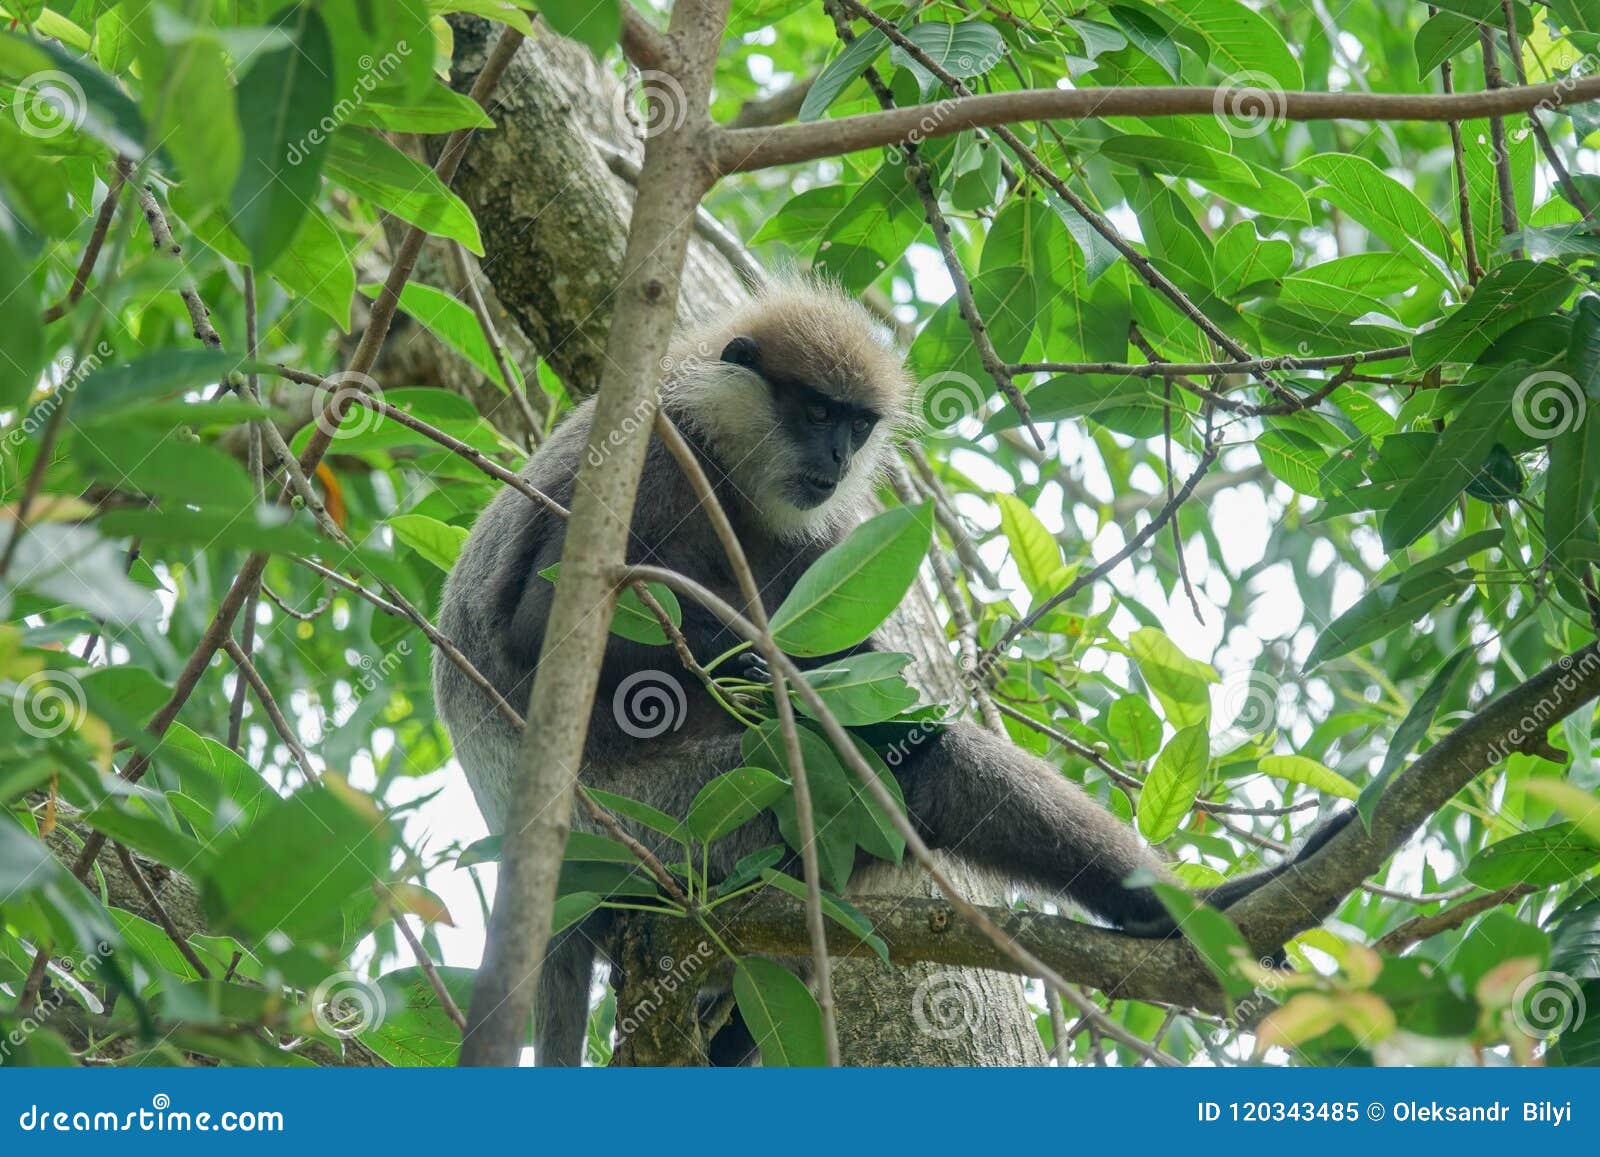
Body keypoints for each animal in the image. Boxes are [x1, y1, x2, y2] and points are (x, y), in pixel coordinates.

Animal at [433, 278, 1350, 1066]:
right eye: (815, 411)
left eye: (856, 423)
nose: (837, 457)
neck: (721, 454)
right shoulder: (655, 457)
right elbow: (545, 630)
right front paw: (778, 658)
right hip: (667, 826)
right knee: (906, 758)